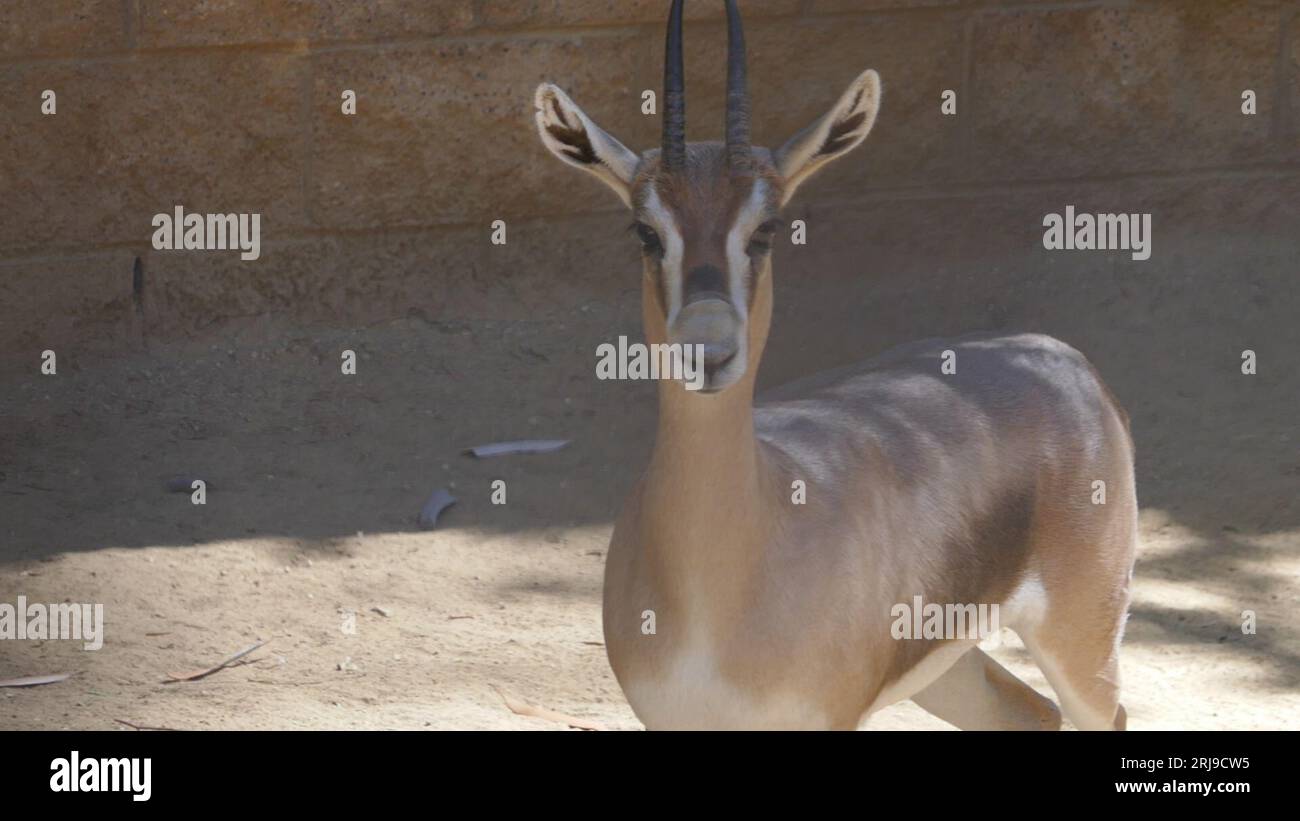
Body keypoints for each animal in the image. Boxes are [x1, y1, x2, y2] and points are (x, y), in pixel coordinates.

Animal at [534, 0, 1136, 730]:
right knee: (1026, 711)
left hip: (1083, 642)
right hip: (949, 665)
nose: (707, 349)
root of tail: (1063, 359)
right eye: (646, 232)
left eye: (765, 229)